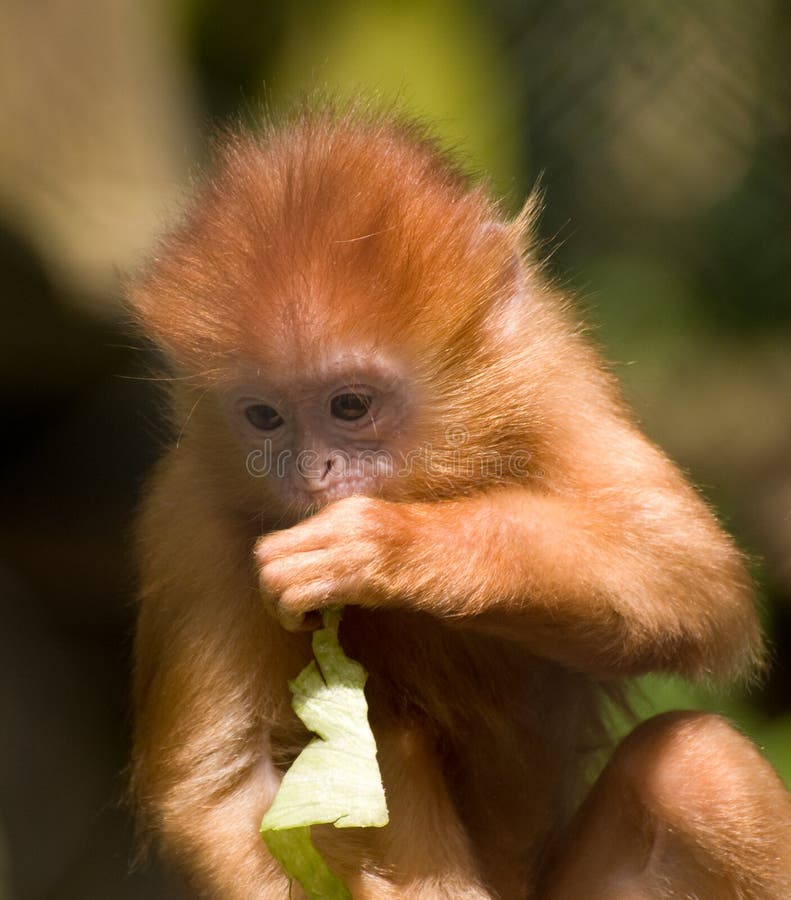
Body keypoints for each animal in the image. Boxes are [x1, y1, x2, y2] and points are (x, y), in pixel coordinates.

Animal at [128, 104, 791, 899]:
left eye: (349, 405)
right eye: (265, 417)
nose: (314, 473)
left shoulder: (550, 385)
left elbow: (687, 570)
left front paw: (385, 547)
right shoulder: (192, 517)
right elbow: (219, 790)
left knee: (702, 769)